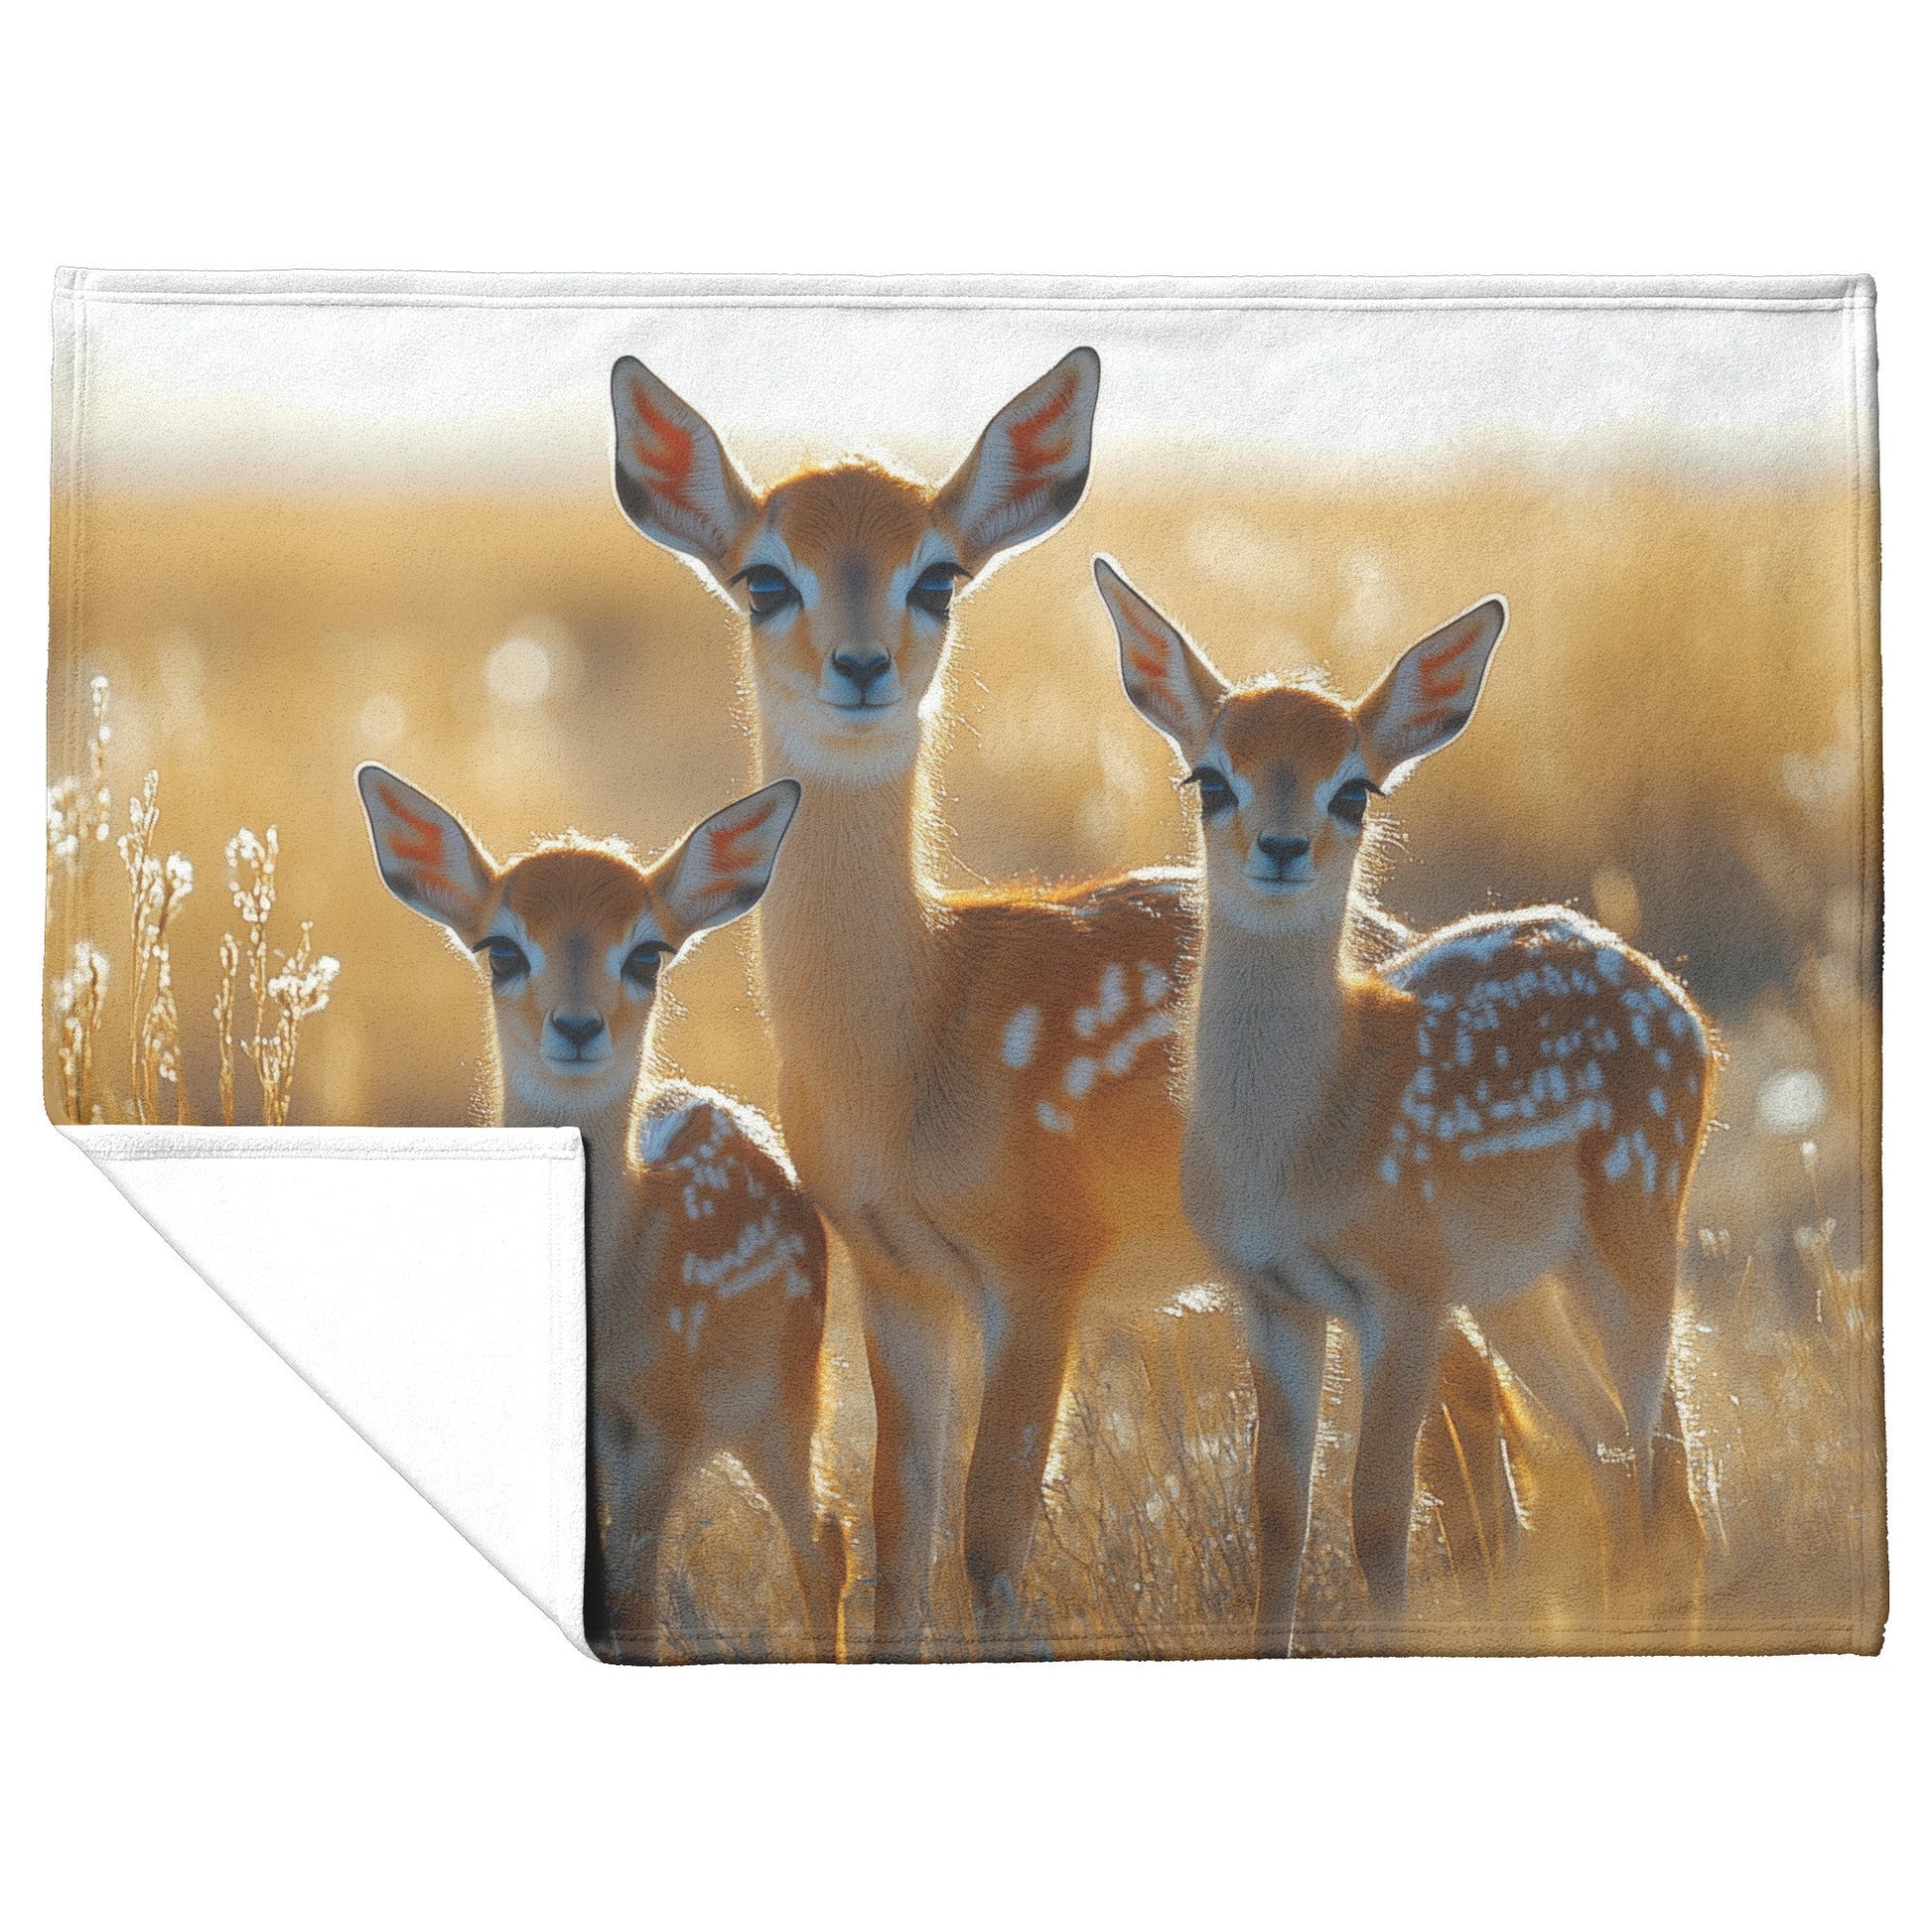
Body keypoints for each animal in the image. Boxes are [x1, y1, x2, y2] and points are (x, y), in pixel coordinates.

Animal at [356, 763, 844, 1663]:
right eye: (502, 949)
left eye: (648, 952)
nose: (578, 1026)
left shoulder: (663, 1420)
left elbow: (635, 1601)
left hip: (785, 1389)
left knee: (824, 1539)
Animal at [606, 347, 1537, 1656]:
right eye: (763, 577)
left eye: (936, 573)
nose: (860, 666)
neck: (912, 1041)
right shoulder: (890, 1267)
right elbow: (897, 1526)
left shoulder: (1045, 1254)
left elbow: (990, 1534)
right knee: (1481, 1433)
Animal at [1097, 555, 1713, 1646]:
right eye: (1209, 777)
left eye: (1355, 789)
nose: (1282, 845)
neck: (1309, 1138)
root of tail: (1685, 1010)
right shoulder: (1268, 1292)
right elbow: (1277, 1512)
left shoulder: (1408, 1285)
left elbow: (1381, 1517)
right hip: (1514, 1283)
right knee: (1606, 1446)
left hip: (1636, 1222)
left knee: (1658, 1467)